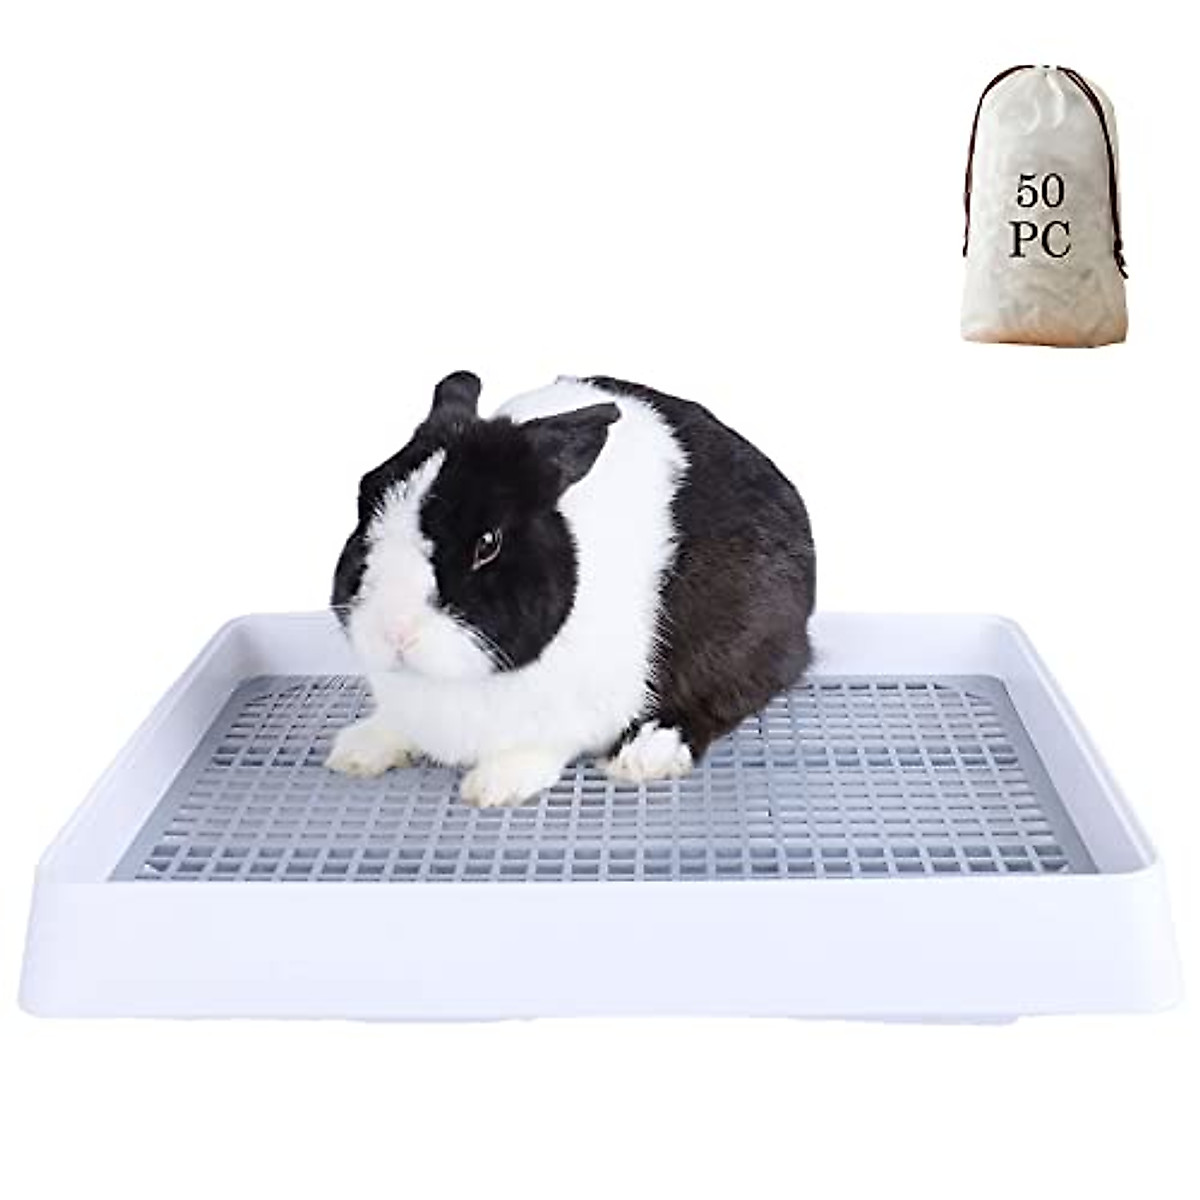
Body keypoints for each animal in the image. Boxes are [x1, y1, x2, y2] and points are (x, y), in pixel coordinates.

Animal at [327, 370, 816, 807]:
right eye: (365, 505)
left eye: (488, 543)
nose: (394, 630)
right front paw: (356, 753)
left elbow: (543, 744)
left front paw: (495, 786)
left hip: (739, 638)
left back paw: (643, 756)